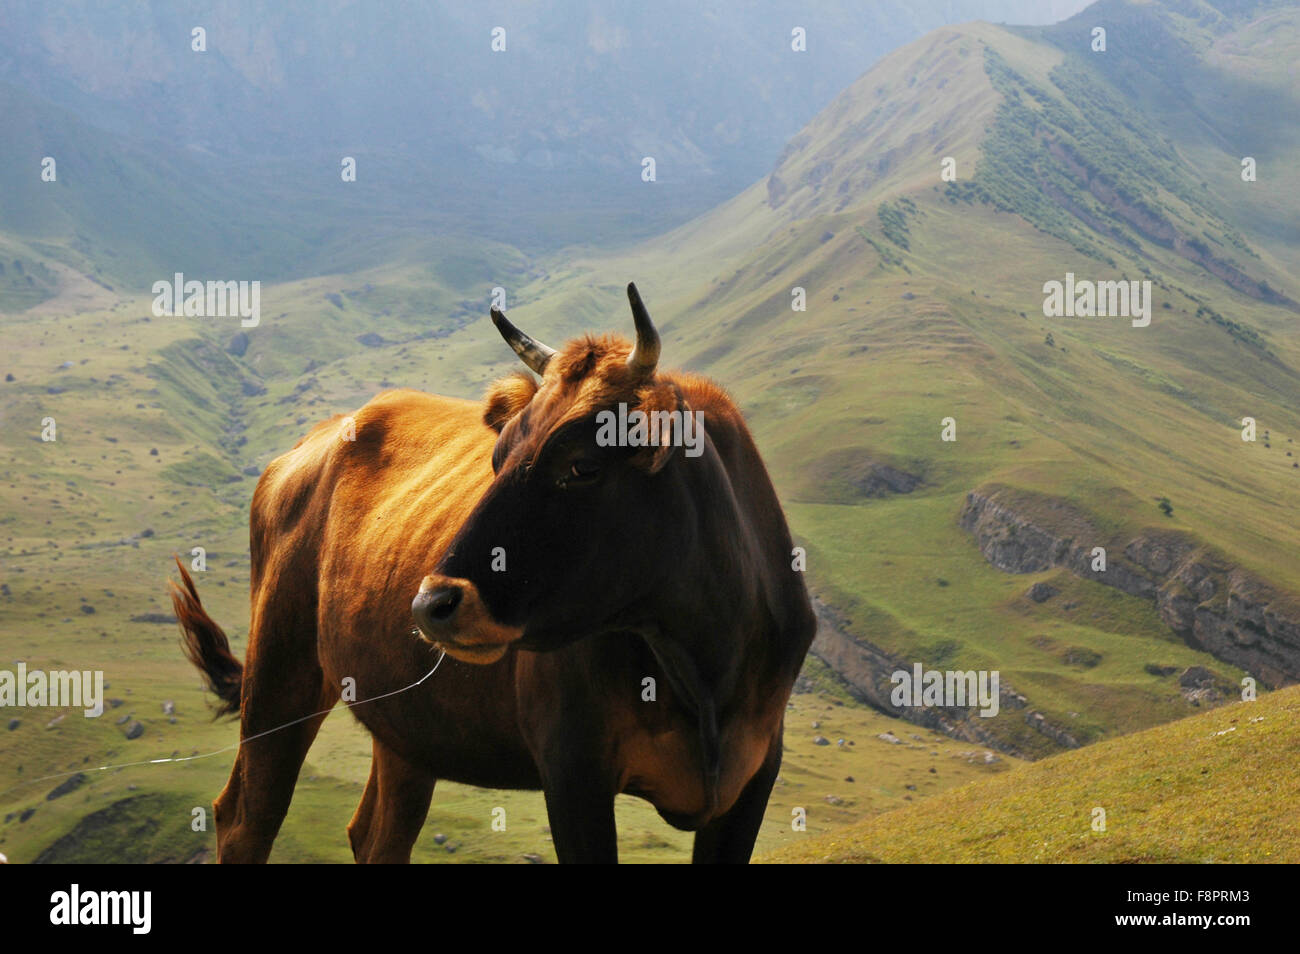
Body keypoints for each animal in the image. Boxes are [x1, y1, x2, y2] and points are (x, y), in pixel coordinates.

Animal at [171, 283, 816, 863]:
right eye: (498, 457)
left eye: (582, 465)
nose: (432, 604)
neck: (703, 672)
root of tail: (320, 436)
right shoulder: (572, 769)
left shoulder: (753, 777)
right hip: (280, 673)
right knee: (246, 818)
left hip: (407, 724)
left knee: (377, 834)